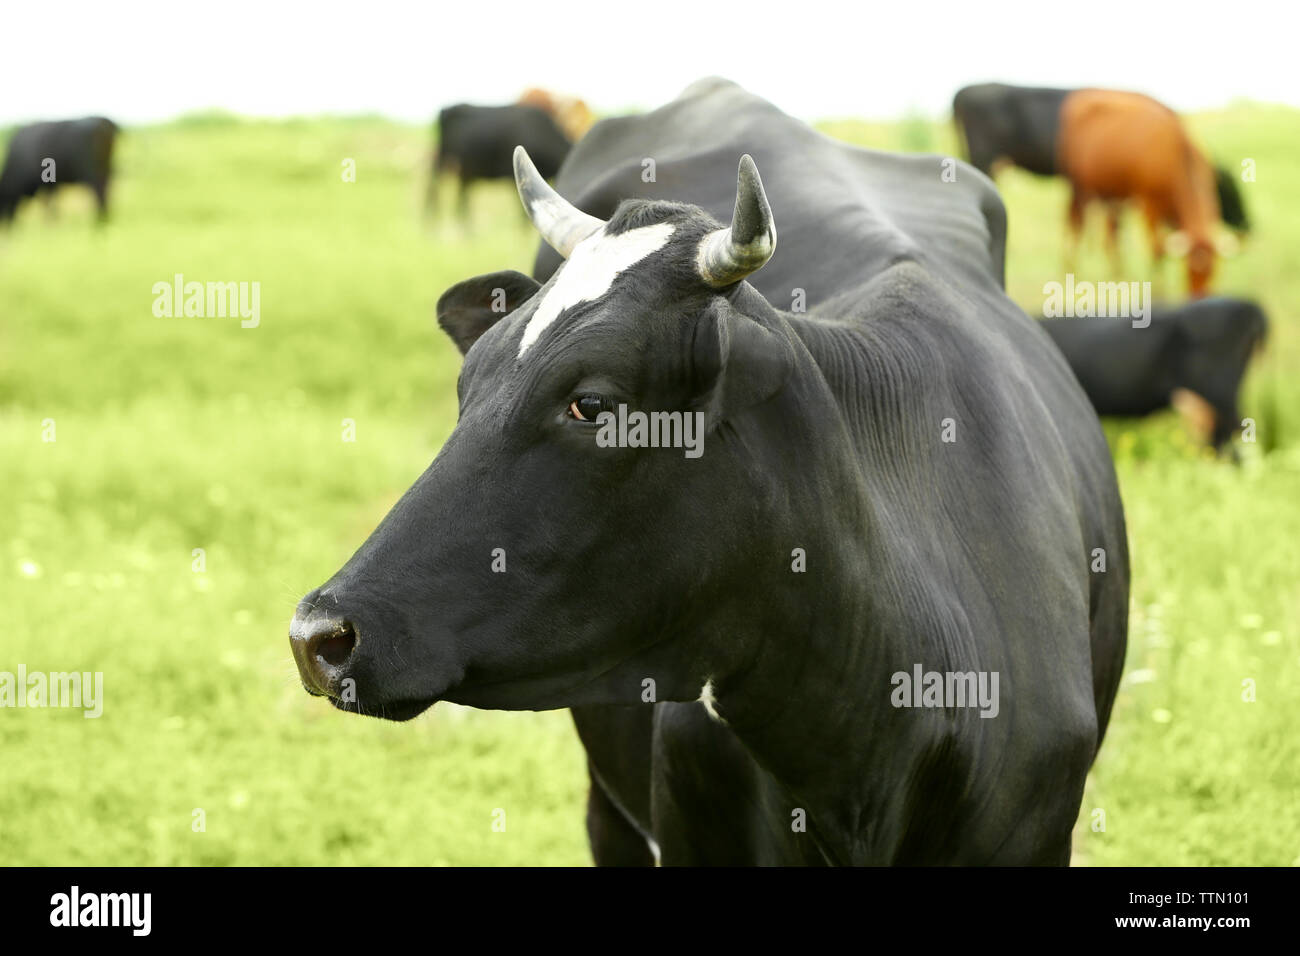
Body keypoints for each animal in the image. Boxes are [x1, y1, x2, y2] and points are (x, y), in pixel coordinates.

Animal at [427, 103, 571, 220]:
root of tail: (445, 109)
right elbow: (522, 217)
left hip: (466, 170)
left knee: (461, 196)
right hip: (447, 160)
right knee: (435, 183)